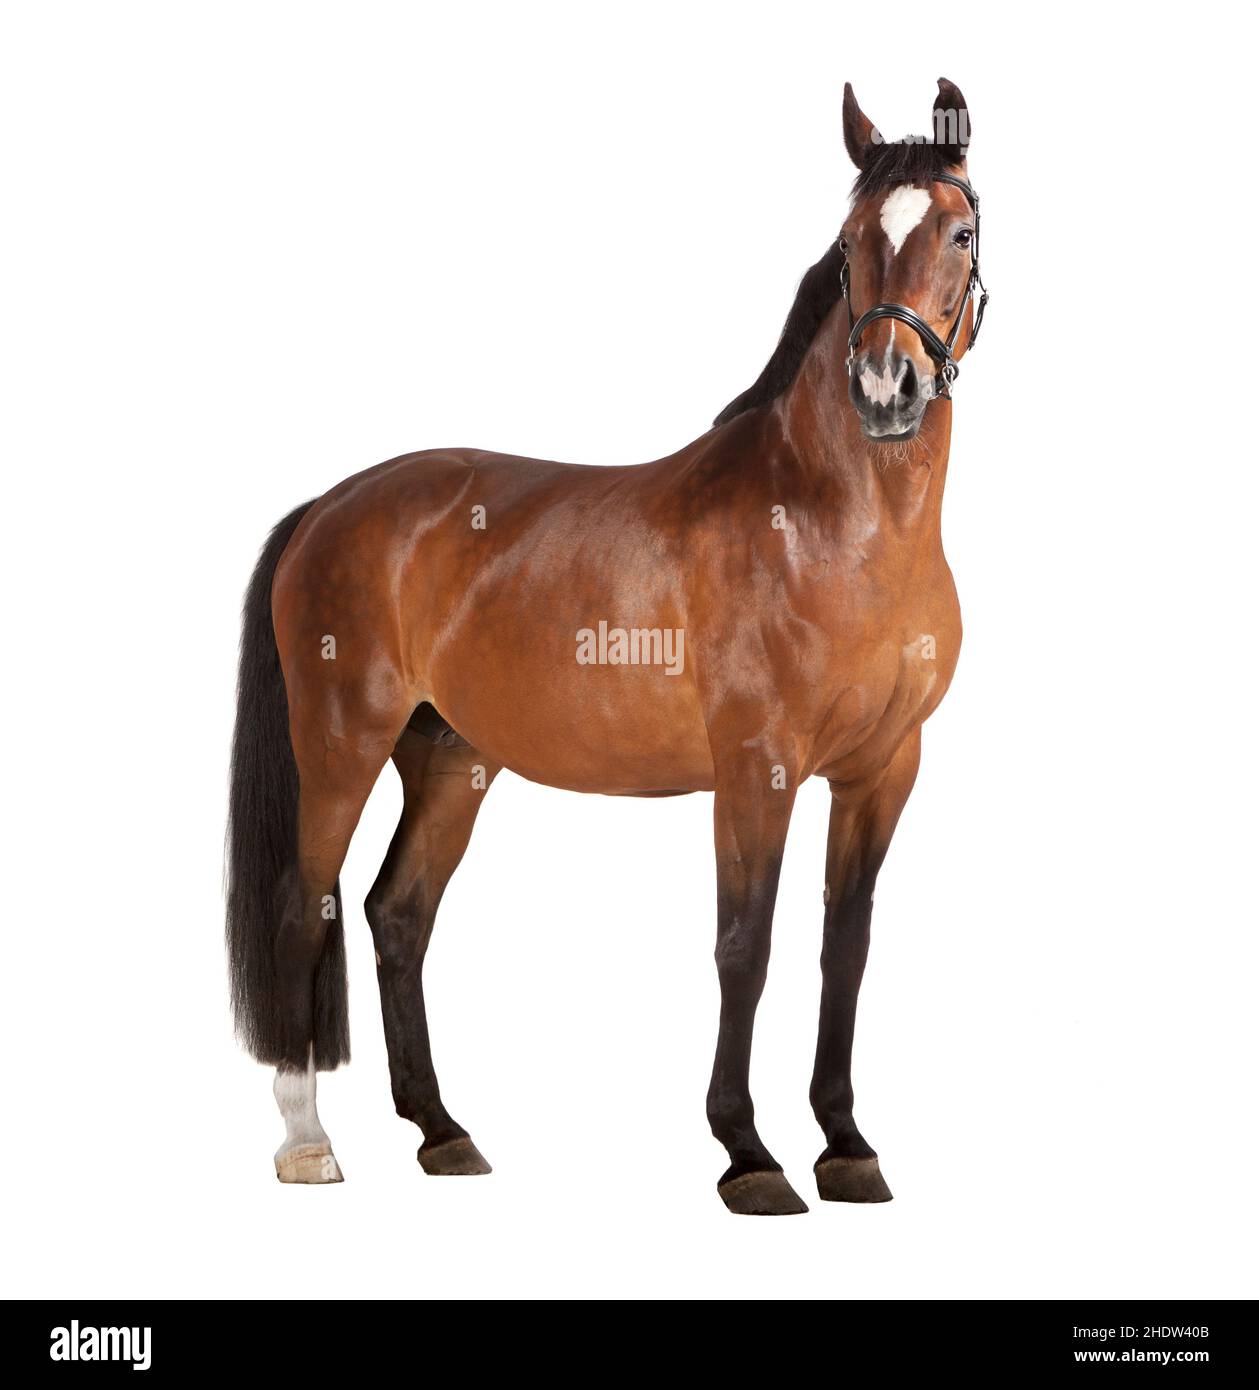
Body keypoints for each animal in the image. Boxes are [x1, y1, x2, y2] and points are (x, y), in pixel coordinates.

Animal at [226, 77, 989, 1215]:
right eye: (849, 242)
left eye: (958, 230)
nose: (885, 388)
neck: (829, 524)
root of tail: (331, 504)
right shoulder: (755, 770)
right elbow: (744, 946)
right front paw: (748, 1154)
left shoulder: (882, 770)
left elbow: (841, 947)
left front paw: (846, 1144)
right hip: (339, 748)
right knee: (302, 908)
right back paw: (308, 1142)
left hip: (451, 759)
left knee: (396, 915)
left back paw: (443, 1131)